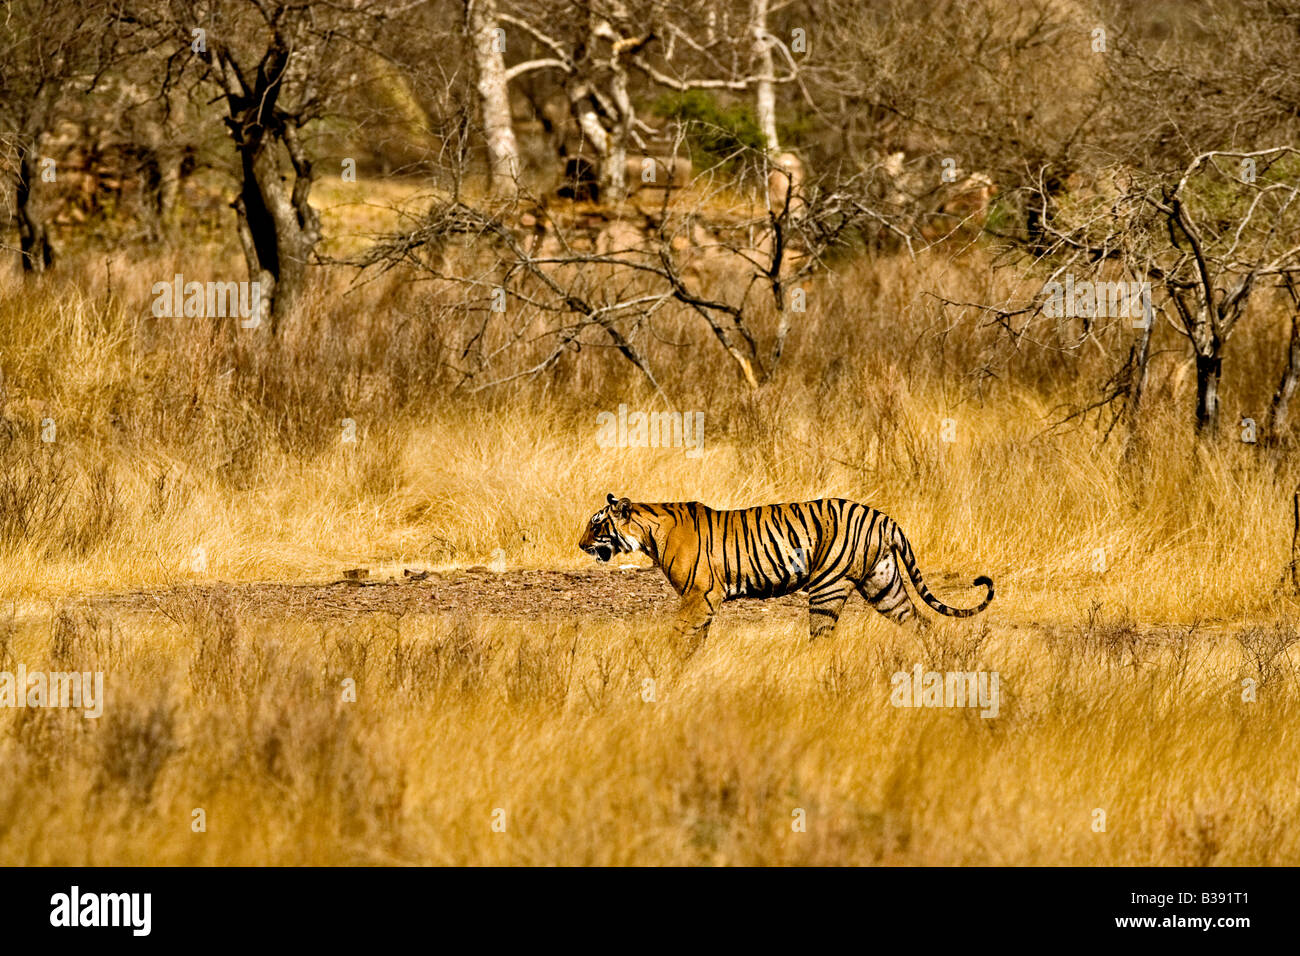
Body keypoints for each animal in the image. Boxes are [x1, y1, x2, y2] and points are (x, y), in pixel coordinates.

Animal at [578, 494, 993, 640]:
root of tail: (883, 517)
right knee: (921, 623)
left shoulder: (700, 596)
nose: (580, 544)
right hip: (883, 584)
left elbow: (678, 636)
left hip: (828, 585)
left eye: (596, 525)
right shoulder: (702, 603)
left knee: (821, 638)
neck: (648, 534)